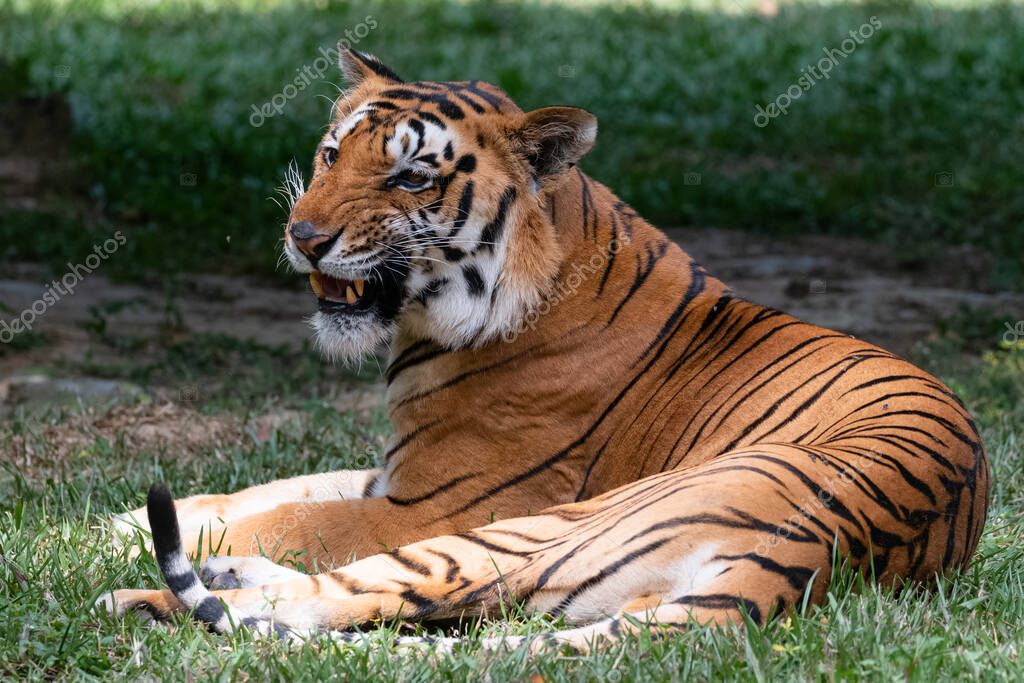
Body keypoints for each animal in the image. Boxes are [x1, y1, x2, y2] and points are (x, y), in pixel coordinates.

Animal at [101, 48, 989, 651]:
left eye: (411, 178)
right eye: (330, 154)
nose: (304, 235)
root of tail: (808, 552)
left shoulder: (436, 498)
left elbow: (296, 515)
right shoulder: (395, 468)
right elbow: (262, 491)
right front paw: (114, 520)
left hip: (535, 527)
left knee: (332, 600)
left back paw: (145, 598)